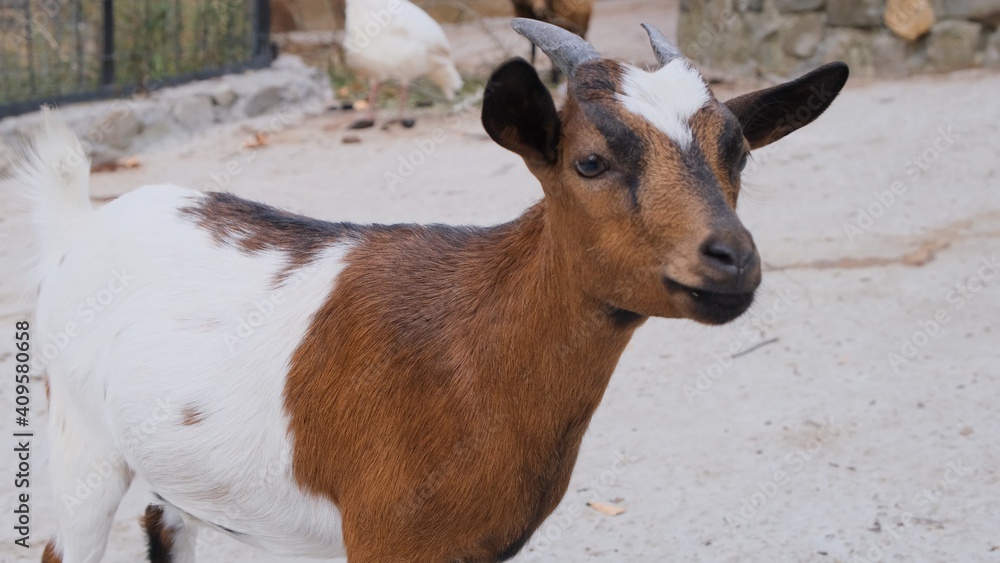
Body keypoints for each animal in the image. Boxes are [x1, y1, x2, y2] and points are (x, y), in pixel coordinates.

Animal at [16, 18, 848, 563]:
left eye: (737, 152)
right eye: (589, 161)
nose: (731, 259)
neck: (471, 347)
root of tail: (81, 224)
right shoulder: (385, 538)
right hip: (81, 439)